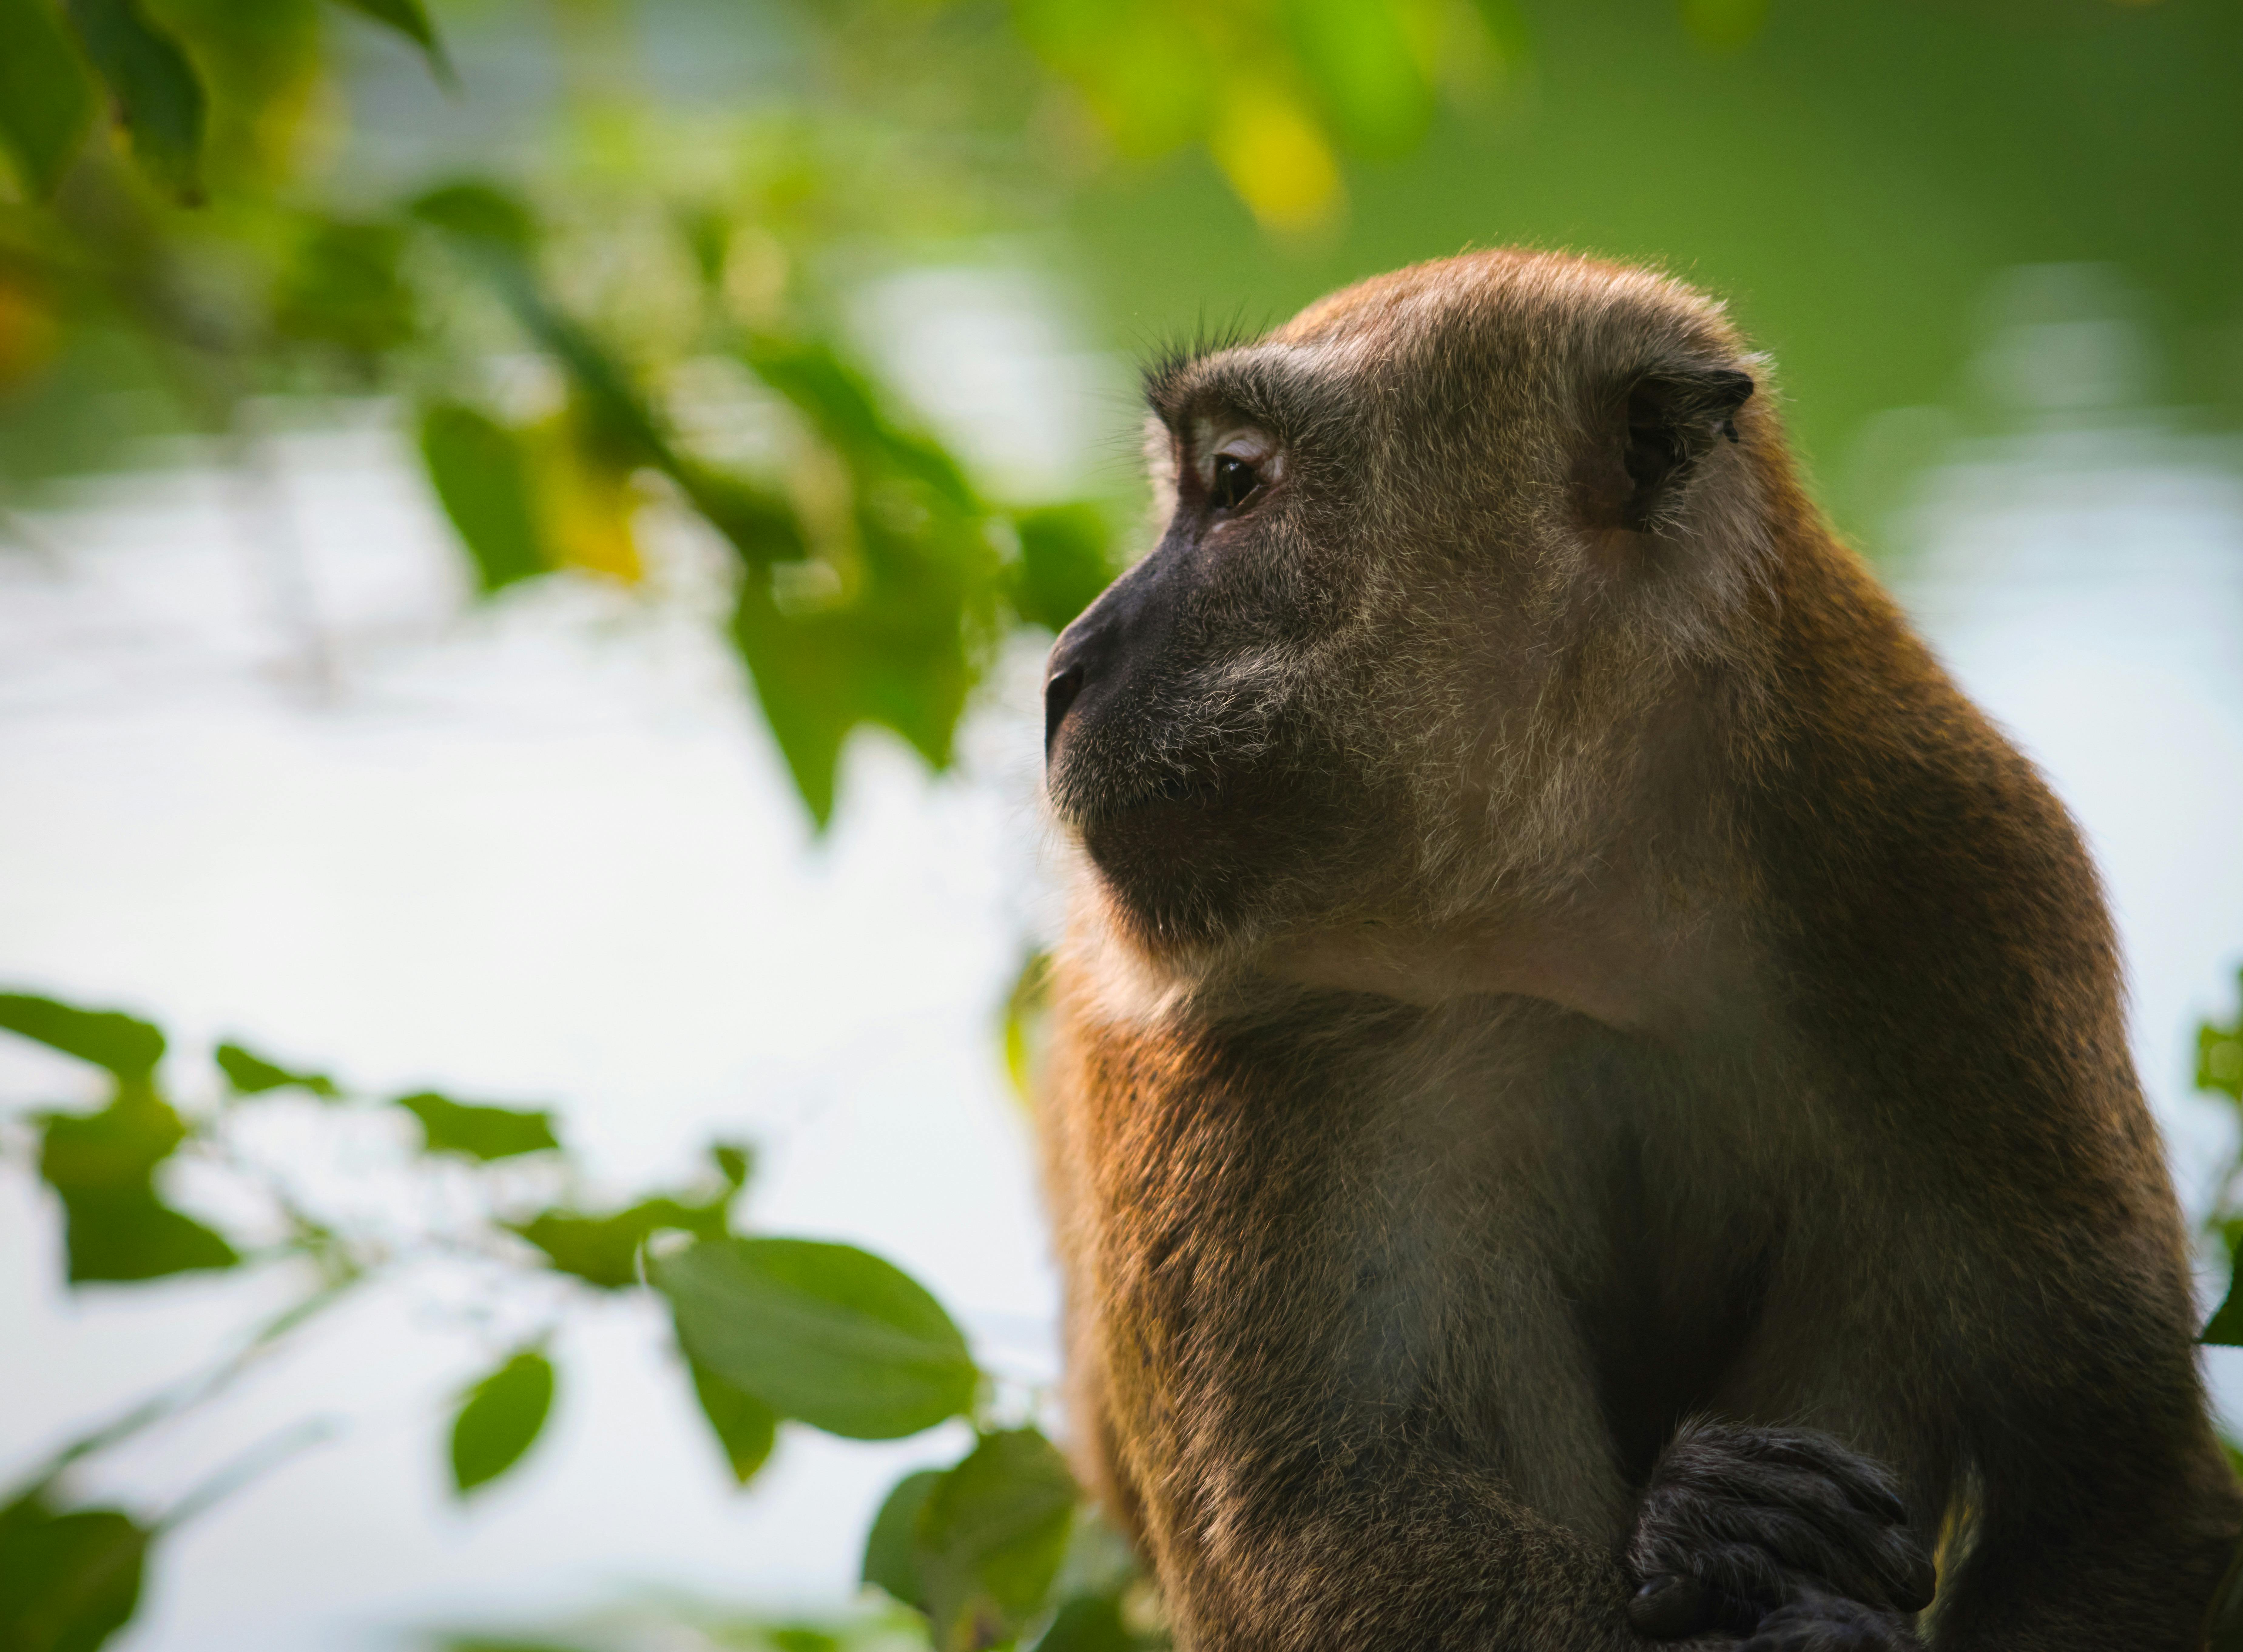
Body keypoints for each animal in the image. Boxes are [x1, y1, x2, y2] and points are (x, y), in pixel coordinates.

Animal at [1033, 249, 2242, 1652]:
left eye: (1234, 484)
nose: (1064, 672)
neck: (1588, 912)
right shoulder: (1229, 1017)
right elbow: (1317, 1536)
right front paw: (1731, 1554)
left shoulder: (1961, 873)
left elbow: (2119, 1497)